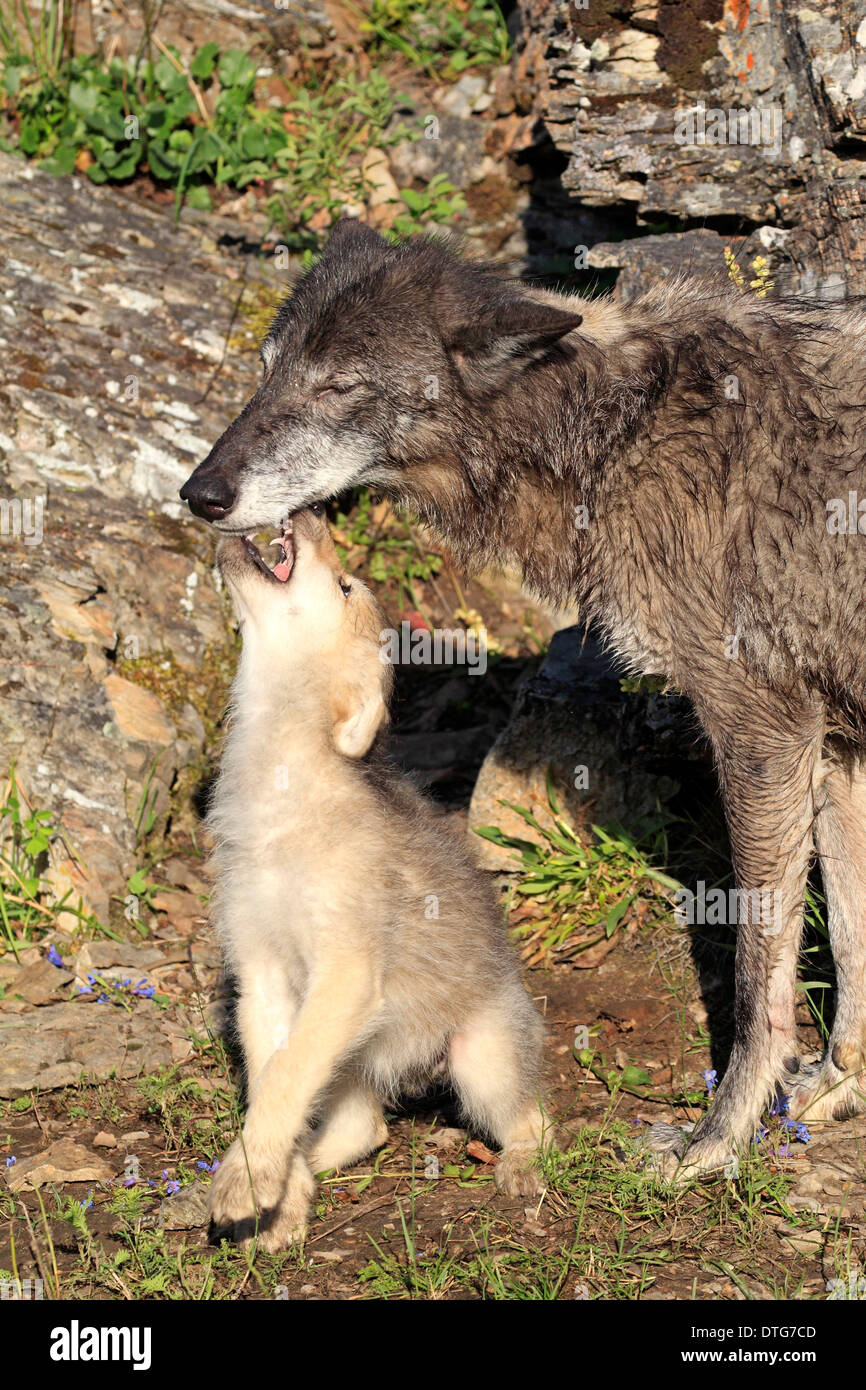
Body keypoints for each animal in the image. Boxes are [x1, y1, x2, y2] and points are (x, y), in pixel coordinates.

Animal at [207, 507, 547, 1250]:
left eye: (344, 587)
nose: (308, 513)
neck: (282, 800)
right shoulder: (262, 975)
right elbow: (273, 1078)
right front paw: (275, 1199)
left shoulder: (345, 972)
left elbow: (283, 1077)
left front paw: (247, 1181)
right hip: (355, 1063)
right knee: (367, 1129)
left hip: (482, 1062)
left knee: (535, 1119)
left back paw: (522, 1169)